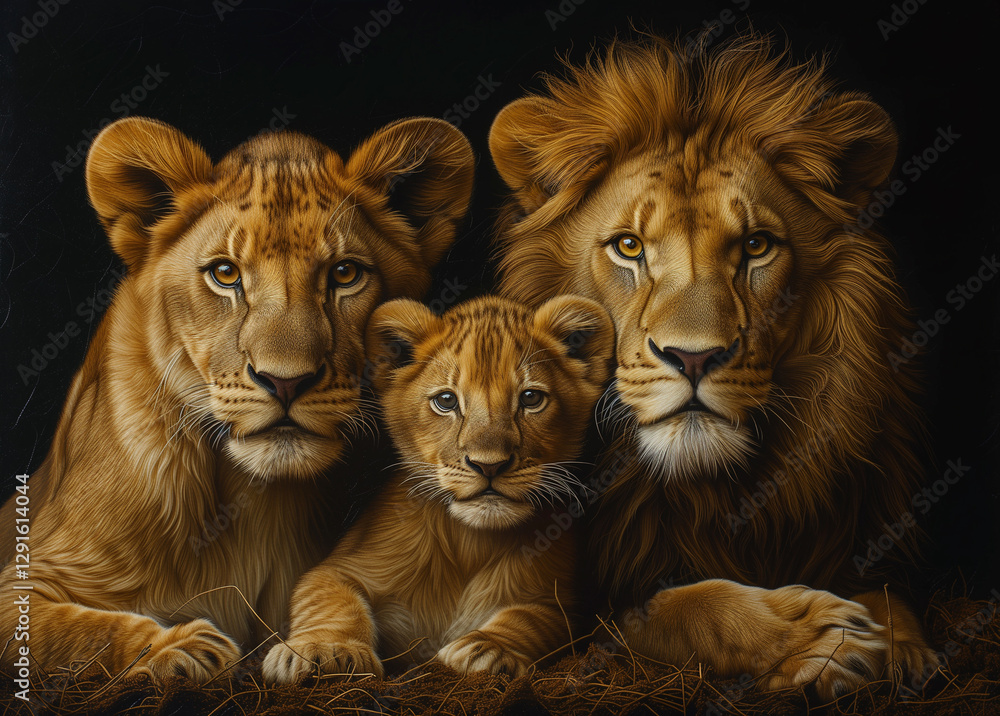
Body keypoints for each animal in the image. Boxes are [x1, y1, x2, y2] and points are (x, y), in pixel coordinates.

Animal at [0, 115, 474, 682]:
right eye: (225, 274)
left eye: (345, 273)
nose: (286, 382)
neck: (258, 504)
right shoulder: (25, 580)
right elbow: (84, 628)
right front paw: (174, 648)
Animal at [262, 293, 614, 683]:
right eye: (446, 401)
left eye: (531, 399)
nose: (488, 465)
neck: (469, 543)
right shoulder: (345, 565)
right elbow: (329, 596)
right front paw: (325, 648)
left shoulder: (562, 601)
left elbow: (532, 618)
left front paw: (487, 650)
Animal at [489, 34, 938, 698]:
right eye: (629, 247)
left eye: (756, 246)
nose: (693, 357)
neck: (711, 491)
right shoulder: (588, 616)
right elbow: (688, 606)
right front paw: (819, 637)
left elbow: (890, 596)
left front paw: (904, 647)